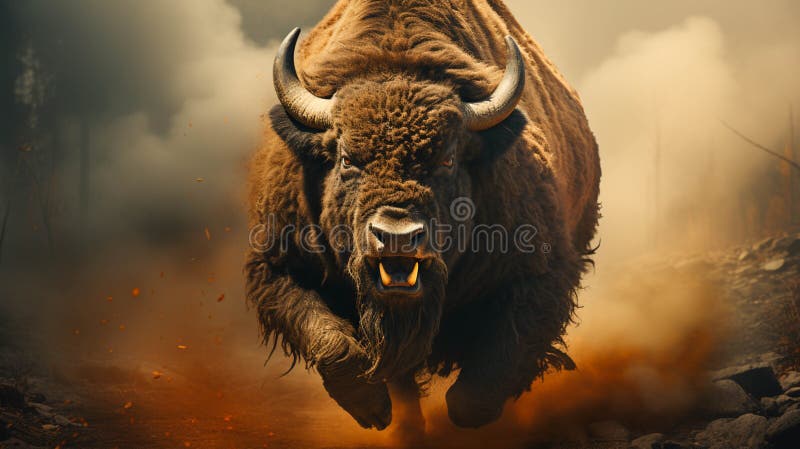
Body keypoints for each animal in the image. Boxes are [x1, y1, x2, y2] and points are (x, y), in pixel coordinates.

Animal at [246, 0, 600, 432]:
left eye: (448, 158)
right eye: (347, 159)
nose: (396, 236)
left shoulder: (539, 276)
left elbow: (481, 385)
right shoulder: (278, 268)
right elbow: (332, 343)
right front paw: (375, 413)